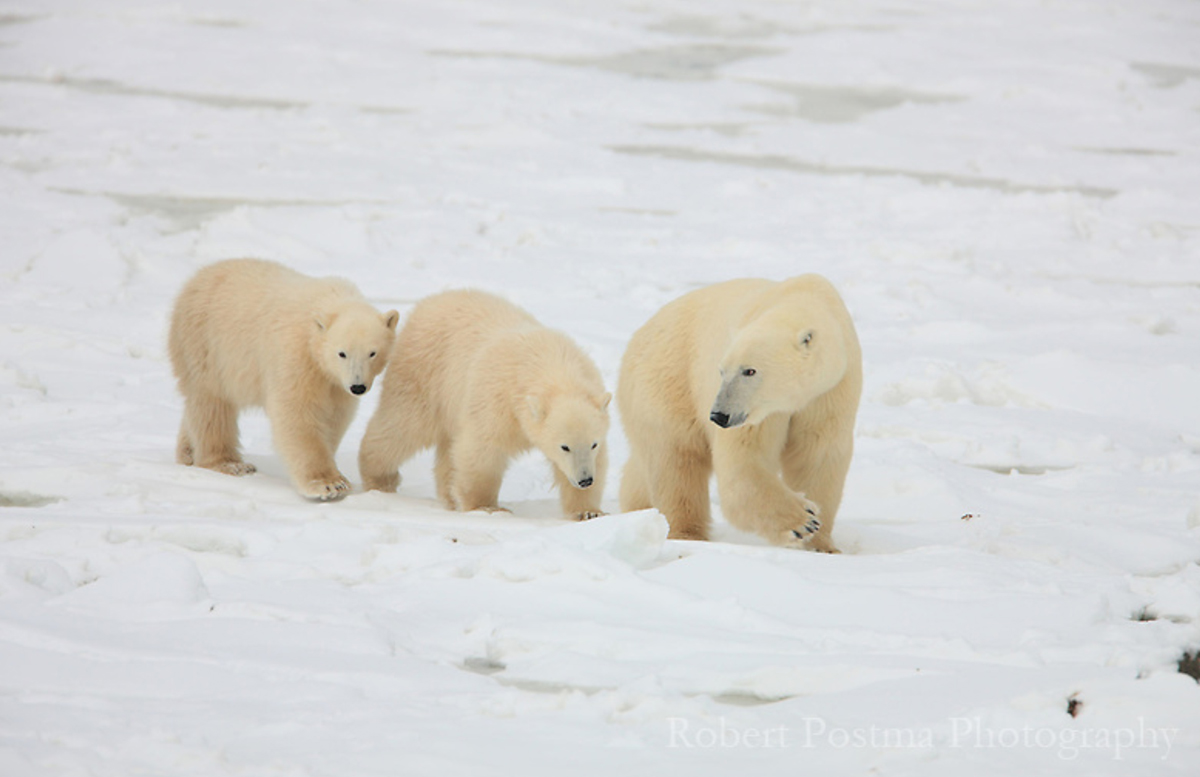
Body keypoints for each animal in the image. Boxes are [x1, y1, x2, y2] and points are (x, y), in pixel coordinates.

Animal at [169, 258, 399, 500]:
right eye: (342, 353)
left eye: (372, 353)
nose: (358, 386)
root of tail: (195, 279)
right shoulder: (297, 354)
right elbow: (298, 412)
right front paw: (328, 484)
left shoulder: (334, 381)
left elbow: (334, 415)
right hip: (204, 344)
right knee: (212, 404)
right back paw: (229, 464)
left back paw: (187, 453)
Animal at [358, 289, 611, 520]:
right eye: (564, 446)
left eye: (593, 444)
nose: (585, 479)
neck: (550, 362)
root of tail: (429, 301)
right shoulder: (497, 398)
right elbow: (483, 450)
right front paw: (487, 508)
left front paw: (588, 511)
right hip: (423, 372)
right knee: (403, 425)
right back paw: (381, 478)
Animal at [617, 275, 861, 552]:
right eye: (722, 370)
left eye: (749, 371)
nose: (718, 416)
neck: (804, 297)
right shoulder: (758, 413)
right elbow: (744, 463)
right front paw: (804, 521)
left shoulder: (831, 391)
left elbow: (817, 456)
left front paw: (822, 545)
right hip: (669, 382)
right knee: (676, 461)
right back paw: (686, 533)